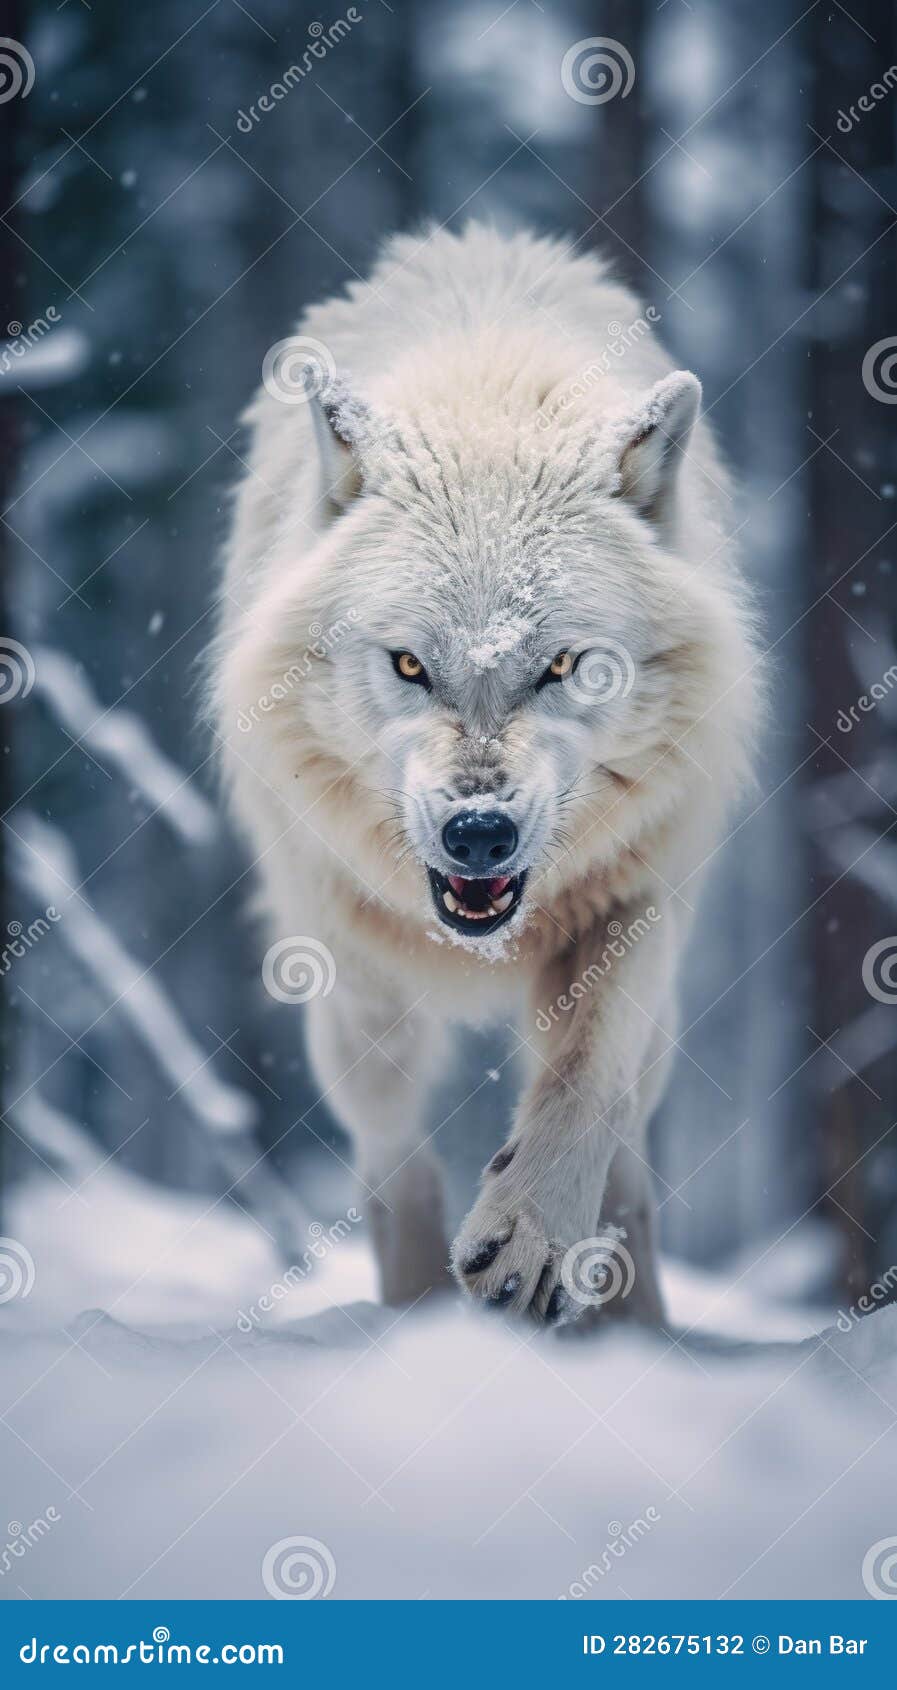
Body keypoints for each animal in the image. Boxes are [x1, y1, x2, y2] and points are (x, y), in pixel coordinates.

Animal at [212, 223, 760, 1328]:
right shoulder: (350, 961)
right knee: (390, 1141)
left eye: (561, 666)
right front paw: (427, 1313)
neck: (491, 393)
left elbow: (586, 1077)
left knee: (629, 1133)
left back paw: (635, 1320)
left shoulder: (639, 896)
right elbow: (398, 1166)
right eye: (409, 665)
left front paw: (532, 1235)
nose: (478, 833)